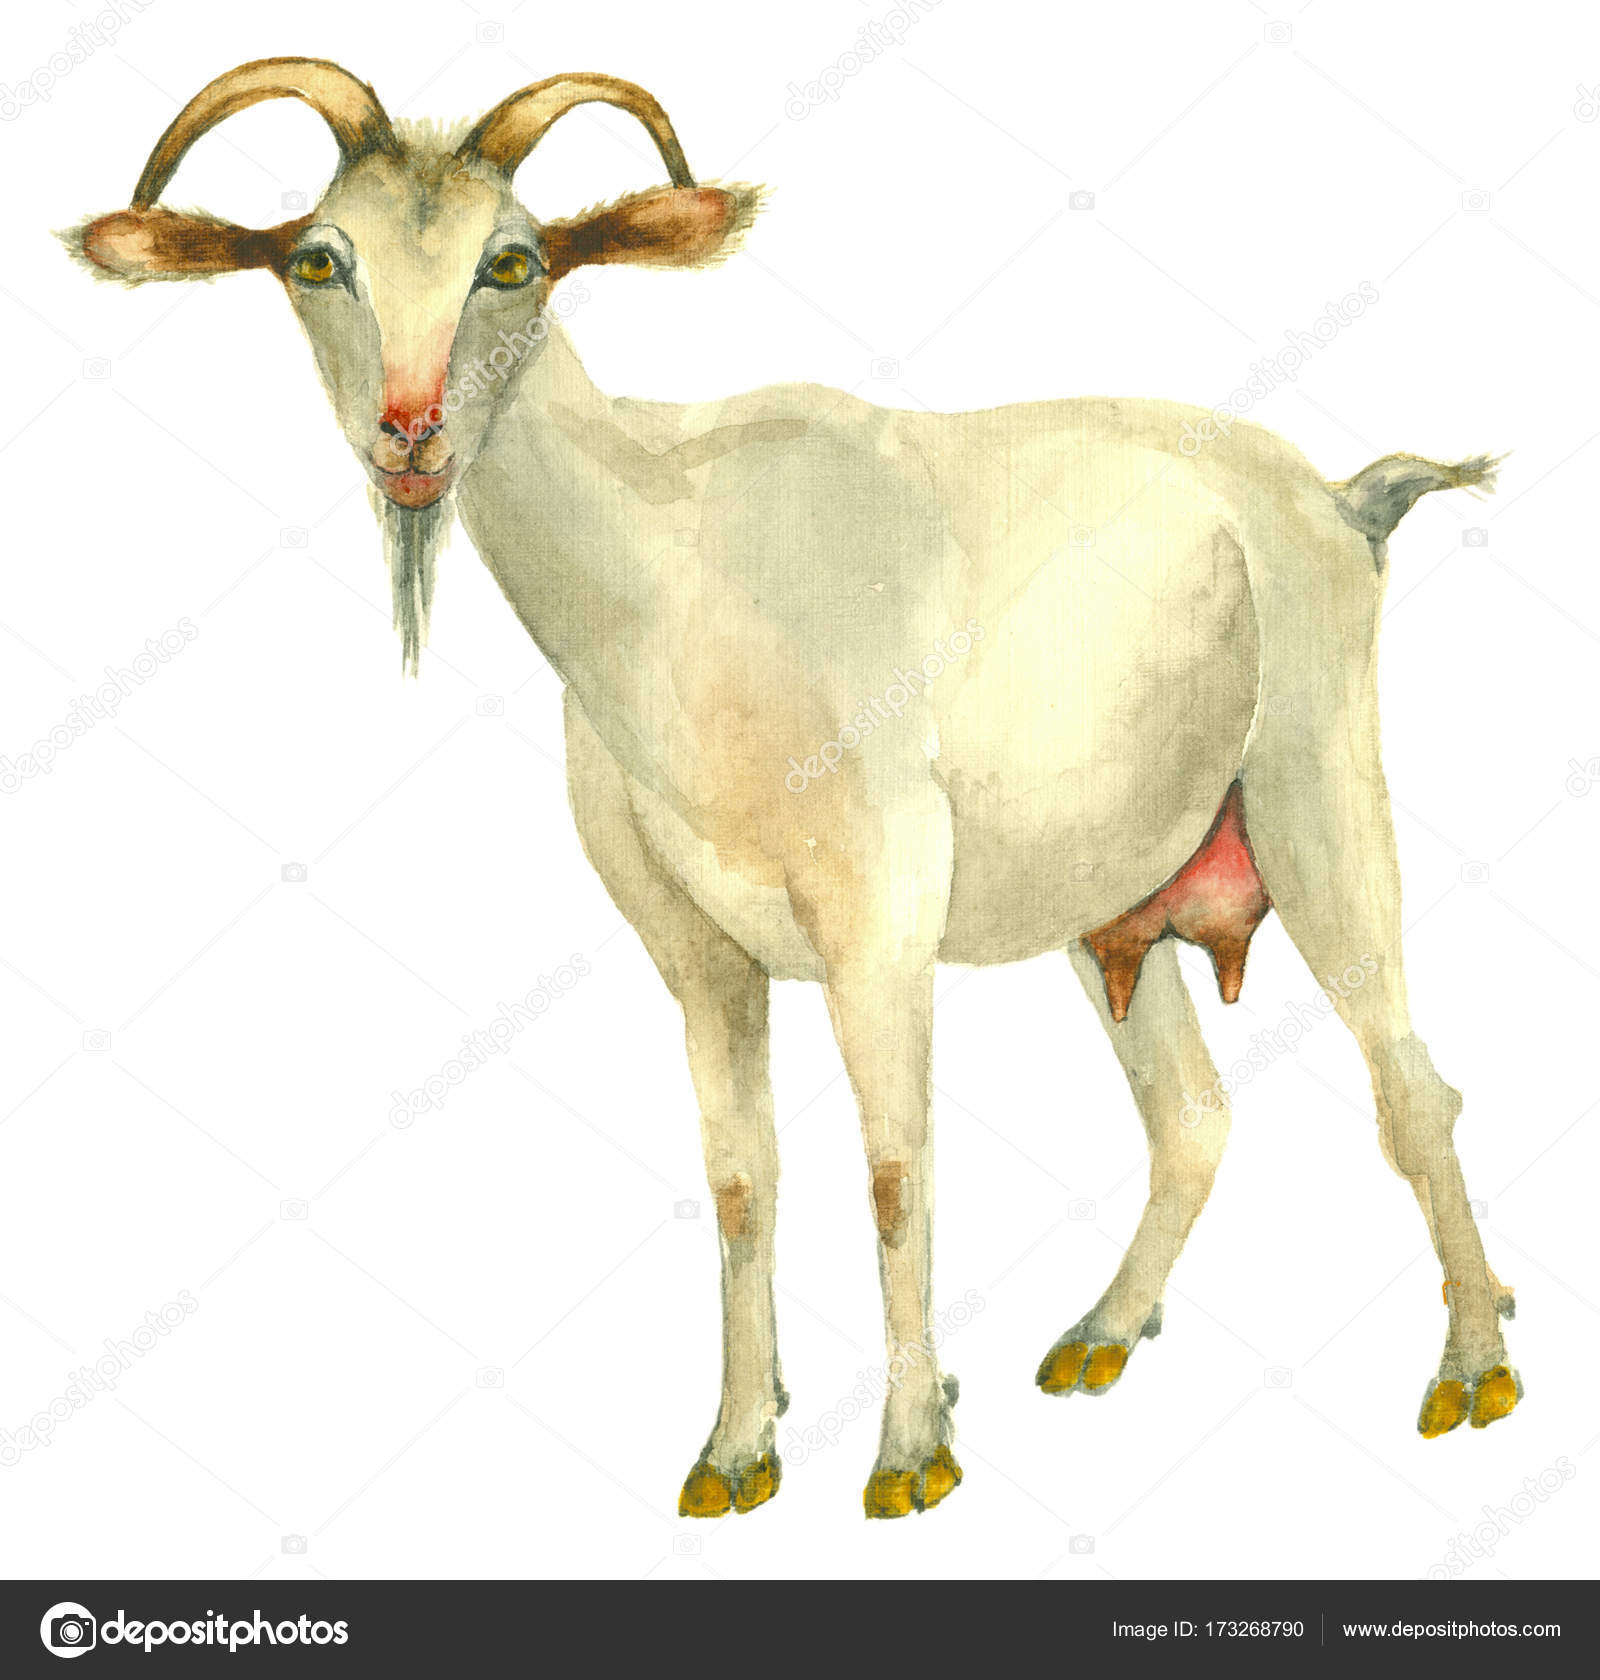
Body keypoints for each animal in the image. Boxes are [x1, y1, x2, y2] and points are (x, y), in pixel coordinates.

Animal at [73, 58, 1517, 1520]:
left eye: (513, 261)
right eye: (320, 259)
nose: (409, 437)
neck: (670, 578)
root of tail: (1342, 500)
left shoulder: (878, 925)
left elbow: (893, 1170)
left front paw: (911, 1456)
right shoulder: (696, 951)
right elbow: (738, 1180)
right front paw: (733, 1450)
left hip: (1314, 788)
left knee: (1410, 1083)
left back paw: (1472, 1369)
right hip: (1111, 897)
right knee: (1193, 1113)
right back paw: (1101, 1337)